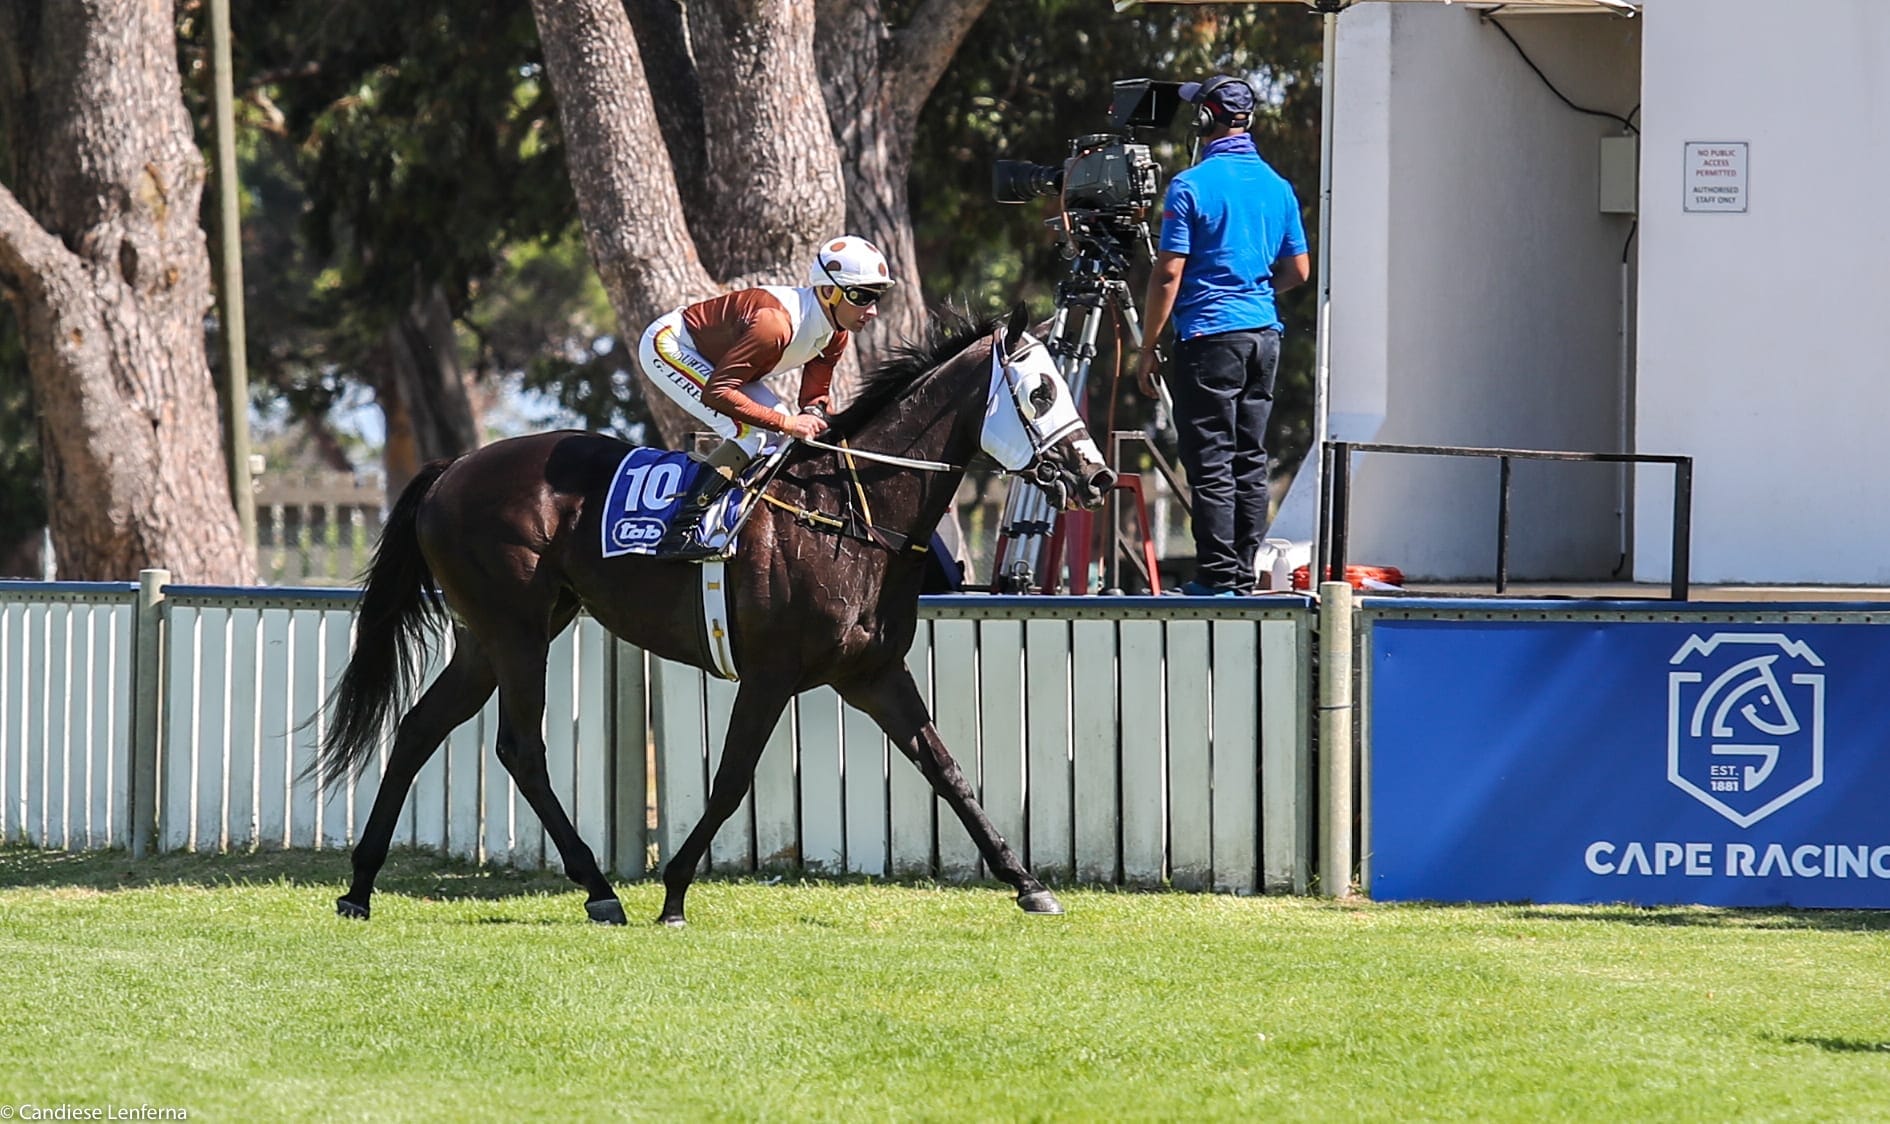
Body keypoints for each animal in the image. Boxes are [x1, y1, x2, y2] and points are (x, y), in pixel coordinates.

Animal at [313, 305, 1116, 926]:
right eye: (1041, 389)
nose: (1097, 476)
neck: (851, 515)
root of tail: (450, 469)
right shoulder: (770, 674)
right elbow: (731, 780)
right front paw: (673, 893)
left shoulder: (874, 674)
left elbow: (948, 770)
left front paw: (1028, 884)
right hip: (516, 632)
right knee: (520, 747)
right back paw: (599, 889)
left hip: (492, 635)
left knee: (419, 728)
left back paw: (360, 887)